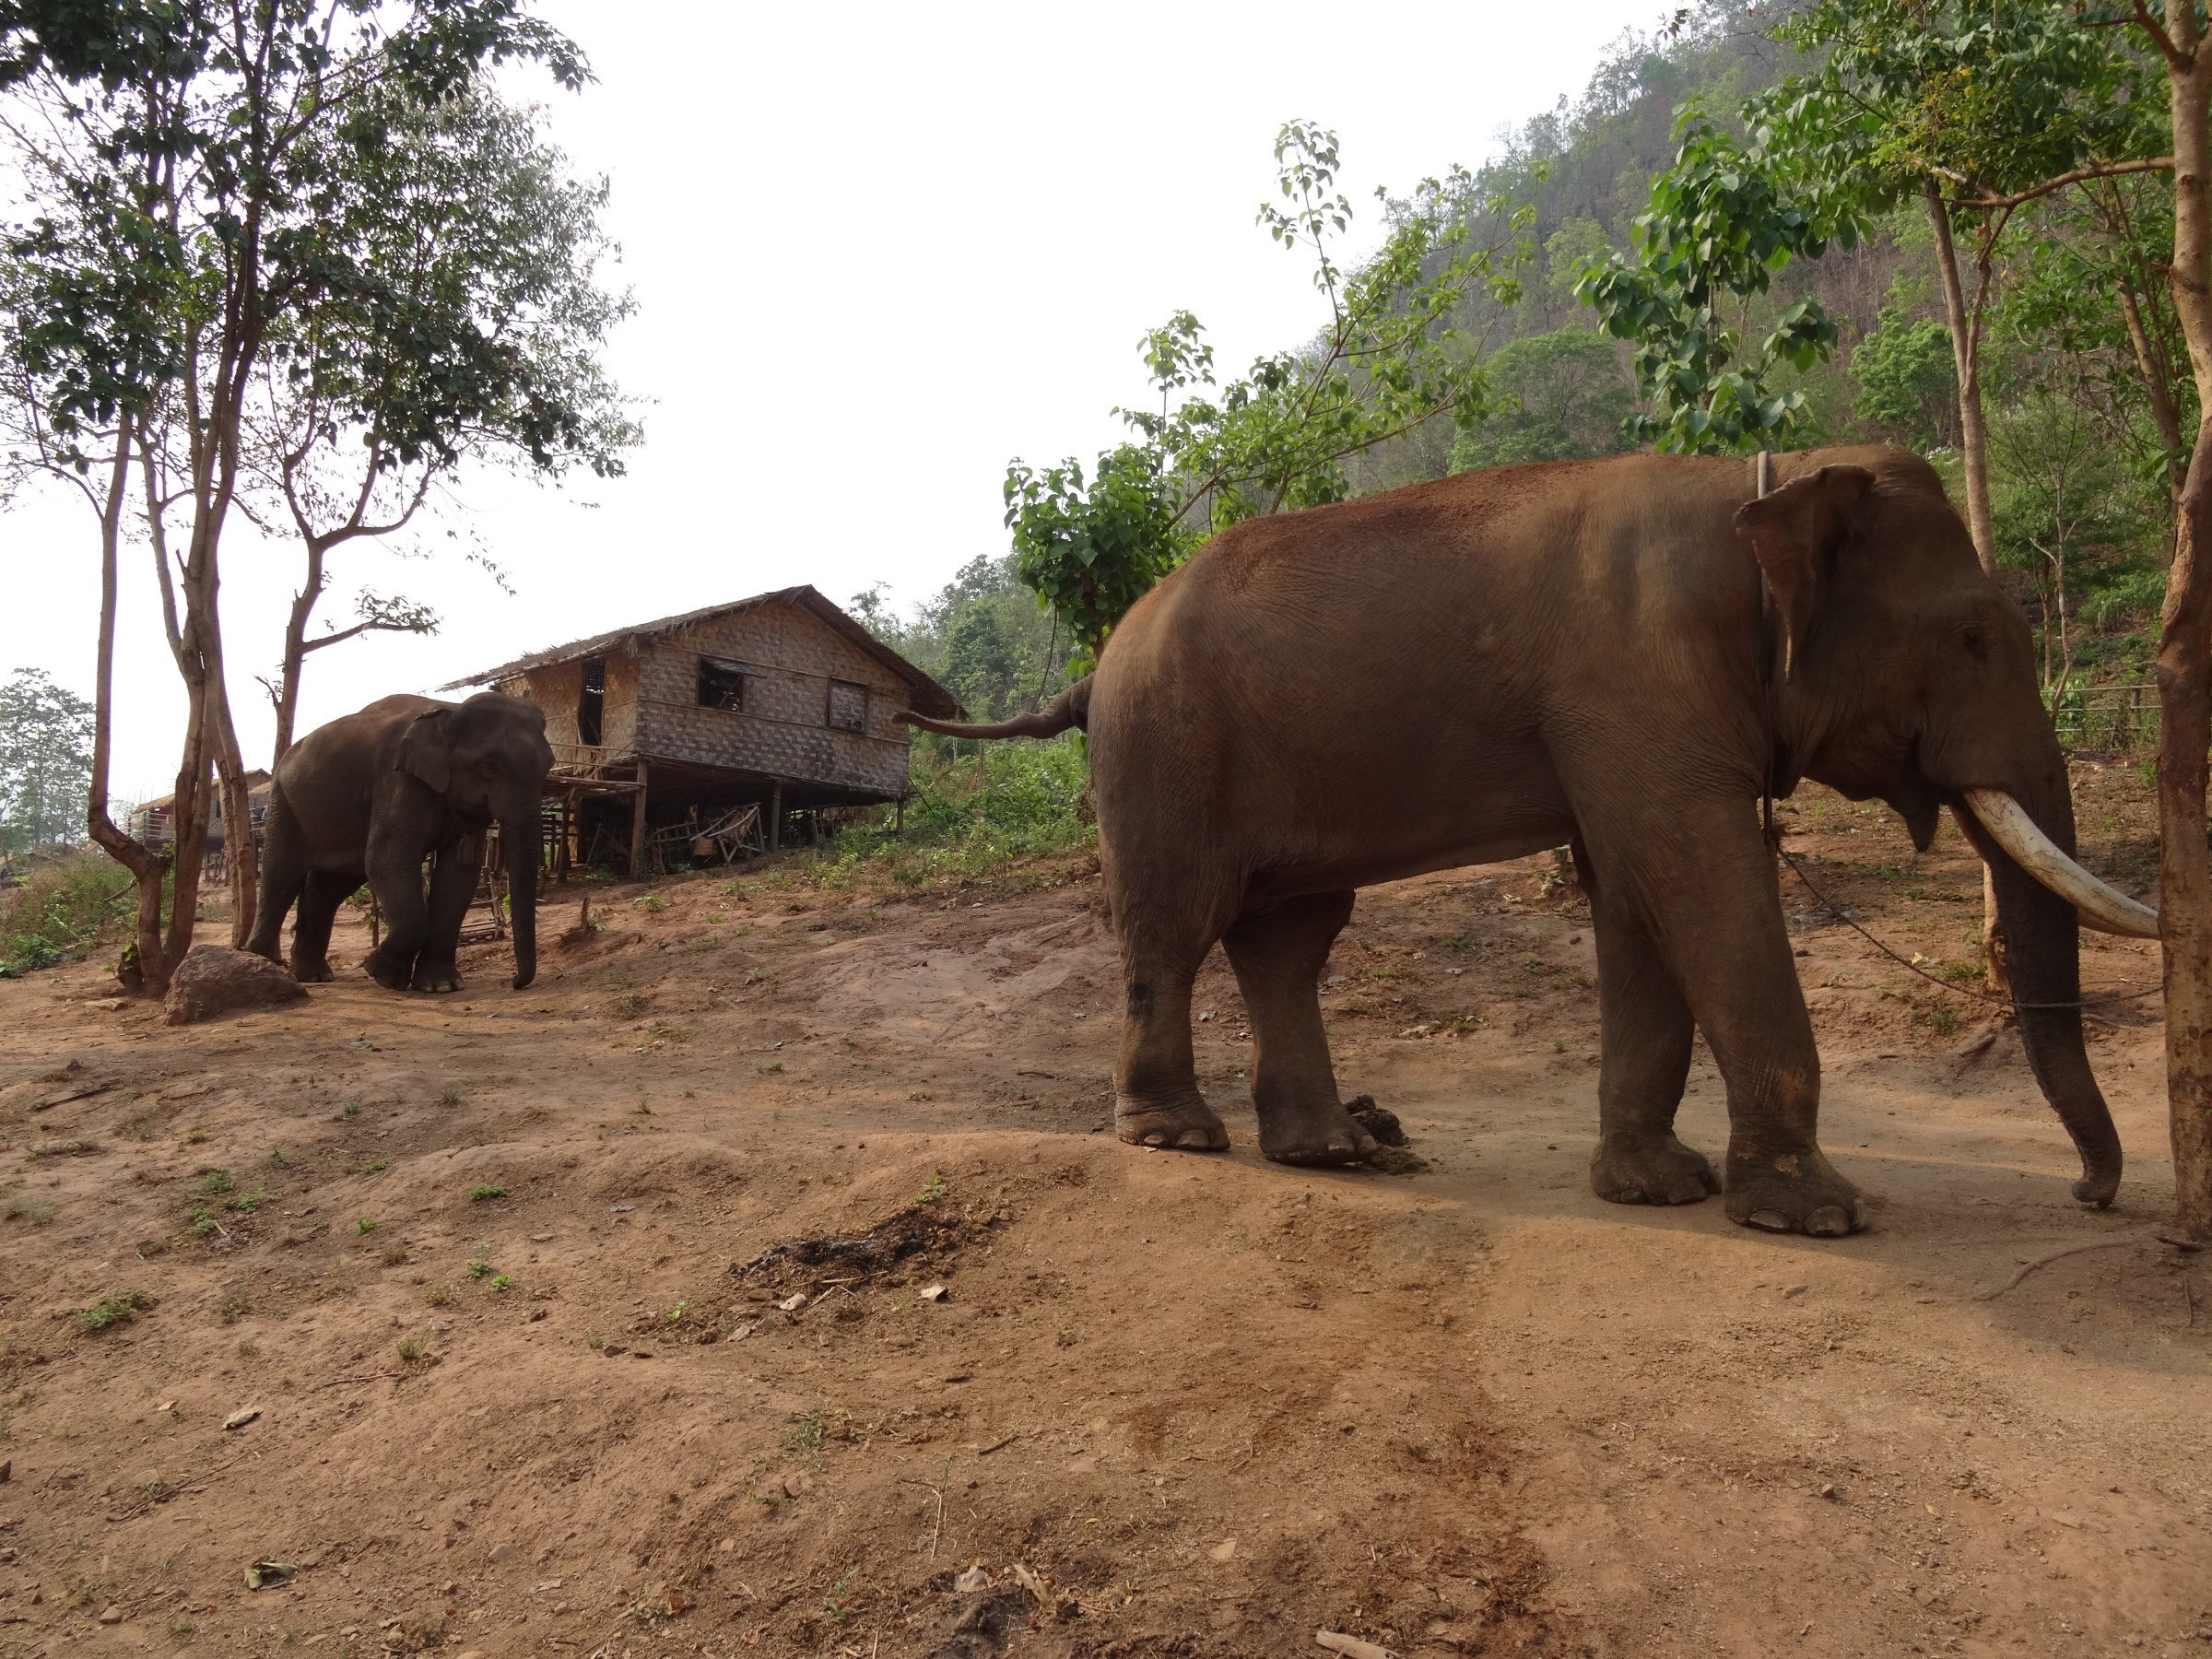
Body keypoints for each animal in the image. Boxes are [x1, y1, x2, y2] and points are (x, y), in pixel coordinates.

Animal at [245, 691, 554, 993]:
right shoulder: (397, 780)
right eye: (489, 766)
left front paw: (440, 986)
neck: (450, 711)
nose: (515, 982)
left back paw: (314, 976)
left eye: (548, 767)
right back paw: (268, 965)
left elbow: (459, 874)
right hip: (283, 802)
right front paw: (381, 974)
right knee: (281, 874)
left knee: (330, 886)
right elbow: (387, 858)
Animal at [901, 445, 2159, 1237]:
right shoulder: (1636, 683)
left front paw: (1659, 1190)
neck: (1762, 477)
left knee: (1289, 939)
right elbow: (1695, 872)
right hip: (1164, 747)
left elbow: (1636, 887)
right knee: (1177, 924)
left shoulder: (1633, 714)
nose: (2090, 1197)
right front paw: (1819, 1217)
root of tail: (1093, 665)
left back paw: (1330, 1148)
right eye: (1973, 638)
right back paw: (1179, 1140)